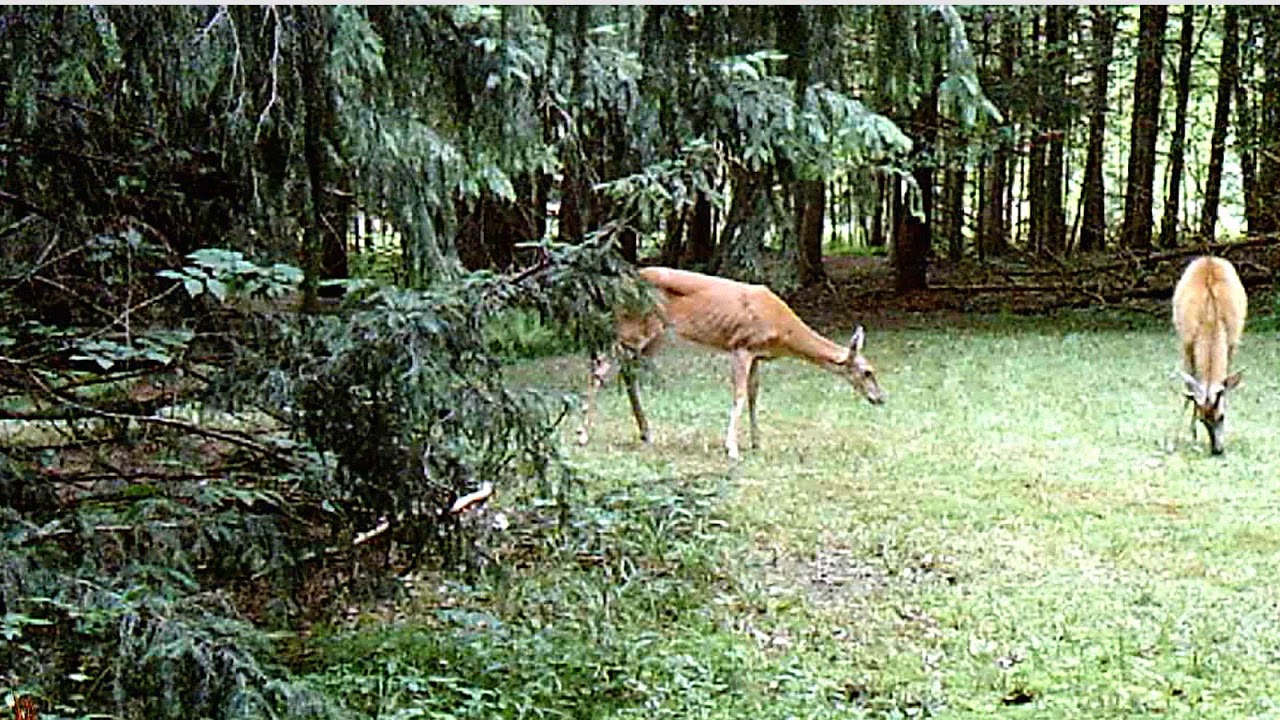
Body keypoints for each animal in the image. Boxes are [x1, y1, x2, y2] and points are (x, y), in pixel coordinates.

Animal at [576, 266, 884, 460]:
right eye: (868, 372)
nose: (881, 398)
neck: (782, 331)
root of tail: (619, 287)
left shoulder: (757, 355)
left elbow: (753, 395)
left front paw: (756, 442)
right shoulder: (741, 346)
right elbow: (738, 395)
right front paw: (732, 449)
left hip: (654, 337)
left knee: (628, 374)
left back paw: (646, 432)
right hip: (630, 329)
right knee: (600, 368)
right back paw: (582, 434)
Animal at [1172, 256, 1247, 455]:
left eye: (1222, 416)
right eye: (1202, 419)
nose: (1217, 450)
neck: (1211, 317)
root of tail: (1209, 258)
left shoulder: (1231, 342)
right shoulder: (1186, 342)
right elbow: (1189, 388)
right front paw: (1183, 438)